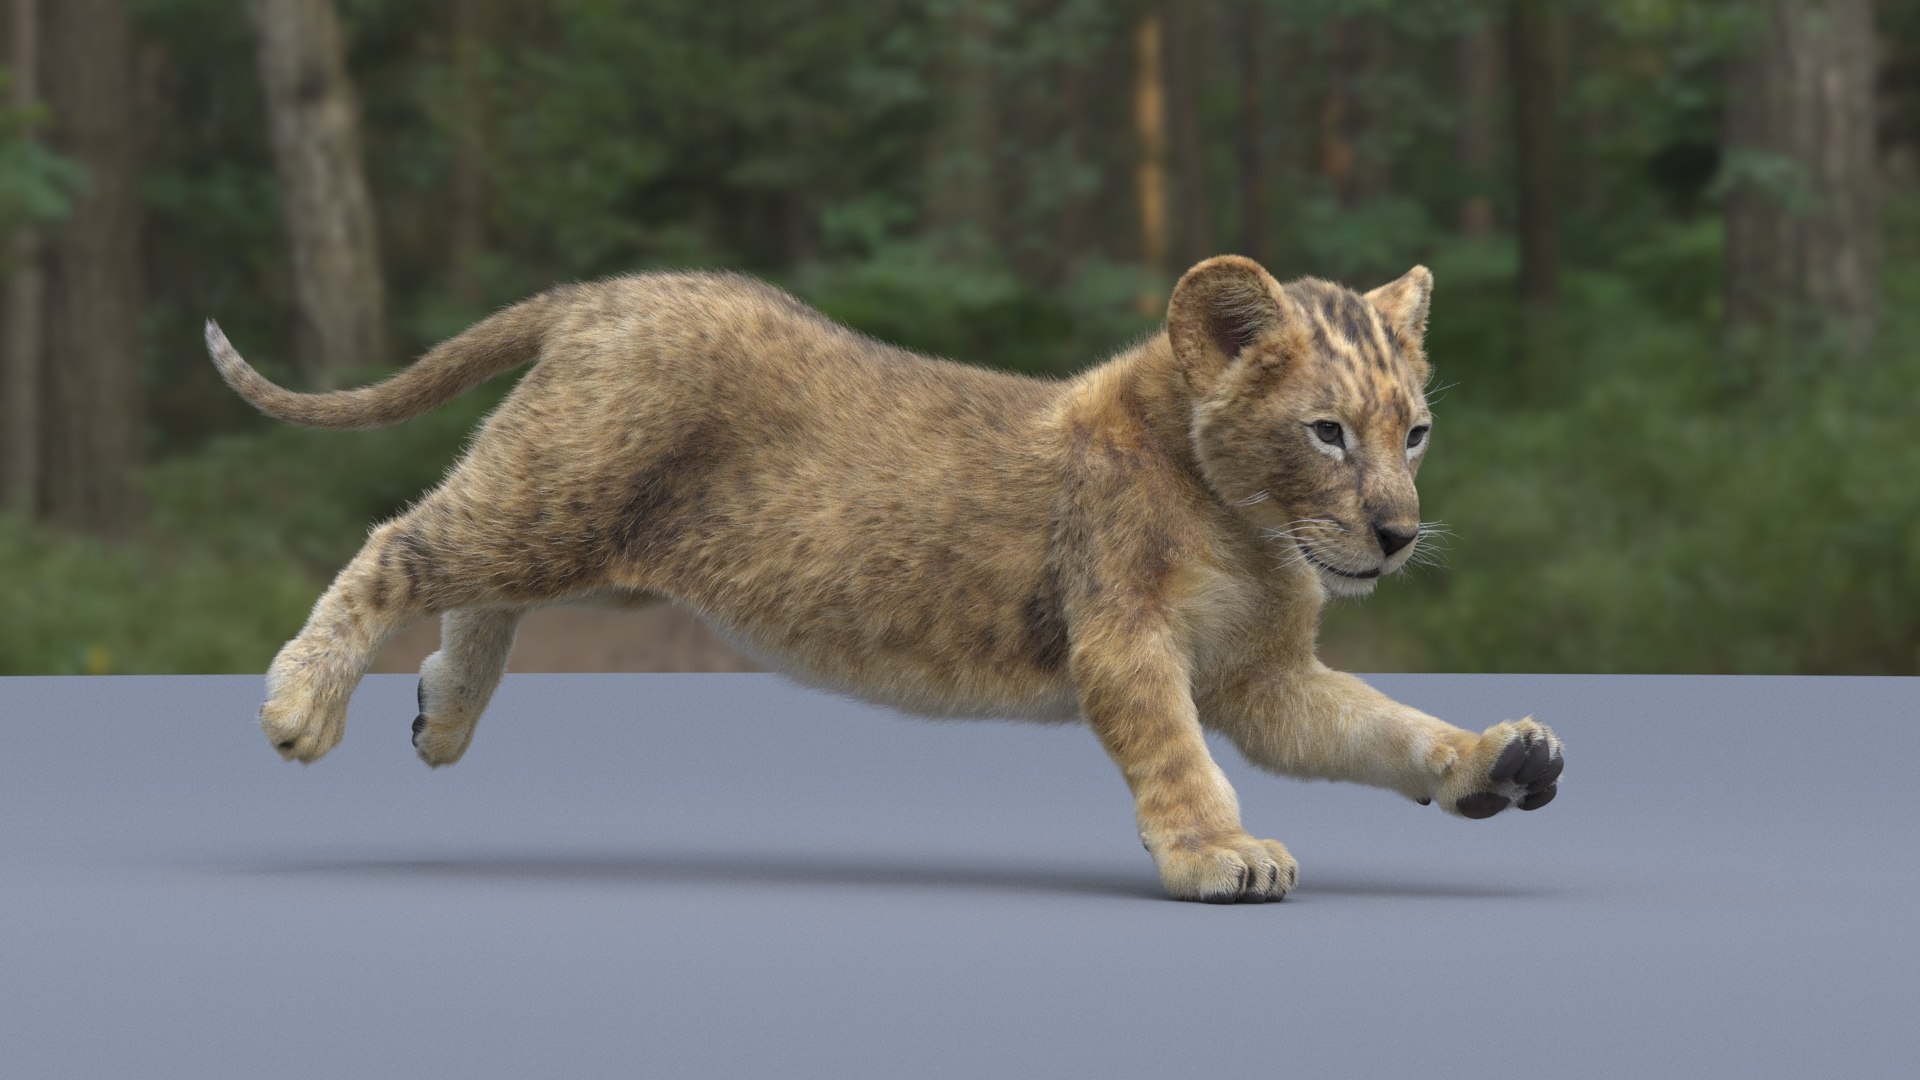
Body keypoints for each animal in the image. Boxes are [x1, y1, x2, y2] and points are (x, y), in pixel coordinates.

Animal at [205, 254, 1563, 903]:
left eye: (1414, 434)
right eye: (1327, 433)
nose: (1396, 535)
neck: (1255, 527)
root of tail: (603, 293)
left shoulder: (1265, 678)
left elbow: (1381, 726)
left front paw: (1498, 759)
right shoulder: (1125, 642)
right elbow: (1185, 761)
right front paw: (1219, 856)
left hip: (584, 530)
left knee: (479, 582)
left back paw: (442, 714)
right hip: (562, 499)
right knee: (402, 543)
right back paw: (301, 705)